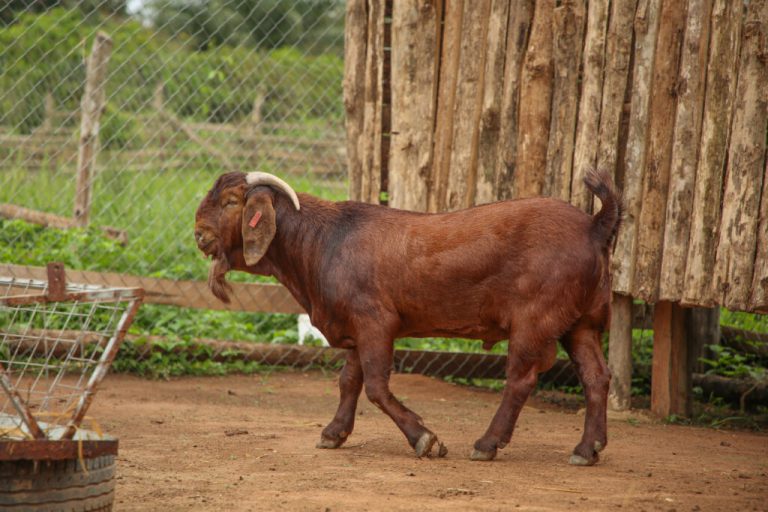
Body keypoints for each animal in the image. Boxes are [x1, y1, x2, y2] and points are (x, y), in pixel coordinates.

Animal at [194, 170, 621, 465]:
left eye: (231, 202)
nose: (199, 234)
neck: (323, 241)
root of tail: (594, 226)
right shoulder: (354, 325)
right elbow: (349, 380)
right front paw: (334, 433)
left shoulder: (375, 321)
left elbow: (376, 387)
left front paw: (424, 438)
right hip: (581, 322)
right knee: (596, 376)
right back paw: (588, 448)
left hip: (536, 318)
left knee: (521, 379)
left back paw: (487, 444)